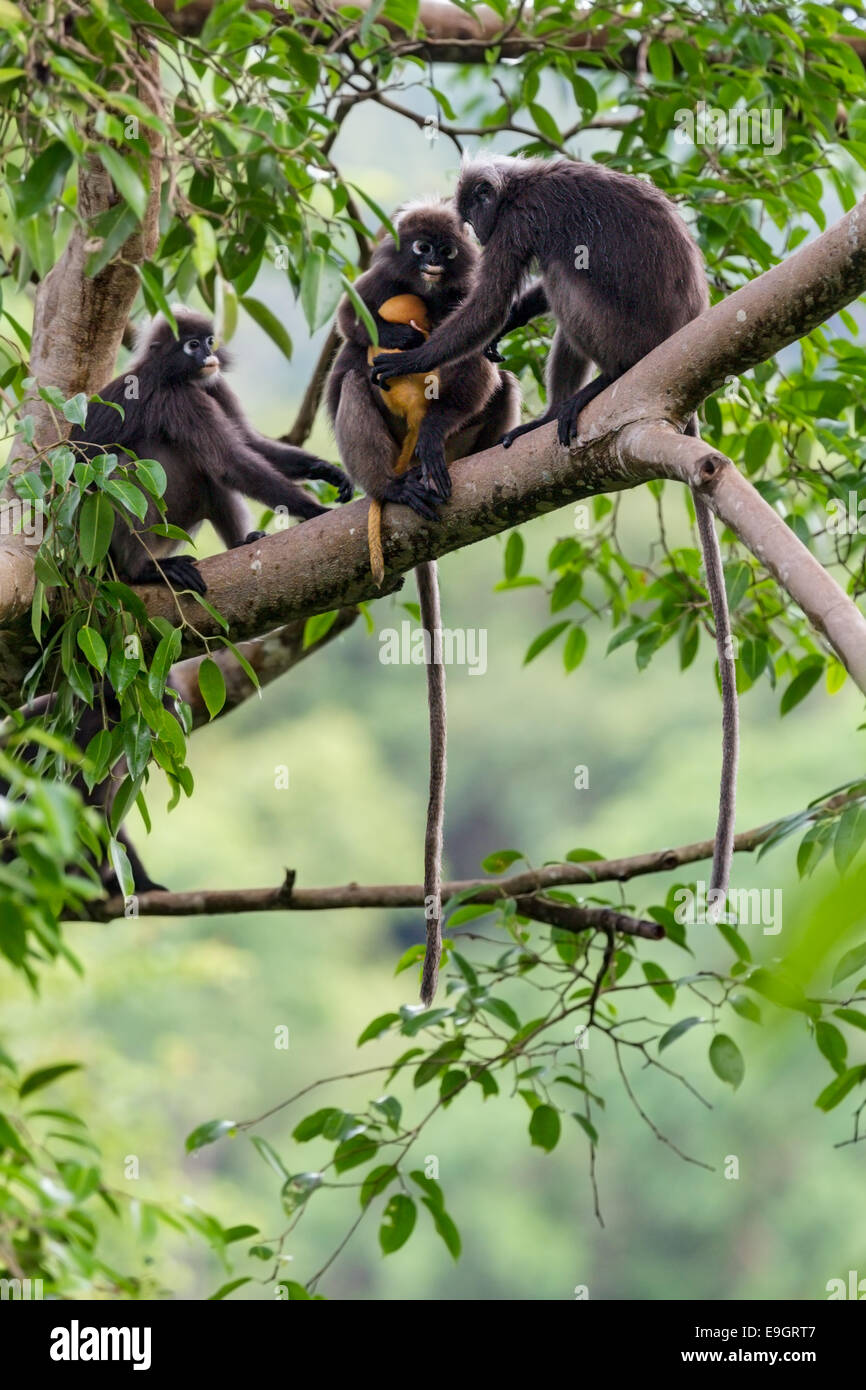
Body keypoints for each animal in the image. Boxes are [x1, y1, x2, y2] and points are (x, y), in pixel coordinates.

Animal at [70, 308, 353, 596]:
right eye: (193, 345)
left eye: (209, 341)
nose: (209, 355)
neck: (175, 375)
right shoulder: (178, 396)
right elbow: (230, 461)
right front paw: (315, 510)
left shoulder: (214, 385)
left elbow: (247, 443)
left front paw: (326, 470)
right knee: (121, 467)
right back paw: (140, 569)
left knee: (209, 476)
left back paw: (242, 542)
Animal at [370, 156, 738, 912]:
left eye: (472, 214)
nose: (474, 230)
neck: (521, 184)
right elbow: (506, 305)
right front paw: (514, 320)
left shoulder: (519, 224)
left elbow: (489, 301)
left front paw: (417, 358)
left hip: (625, 334)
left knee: (572, 283)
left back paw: (599, 387)